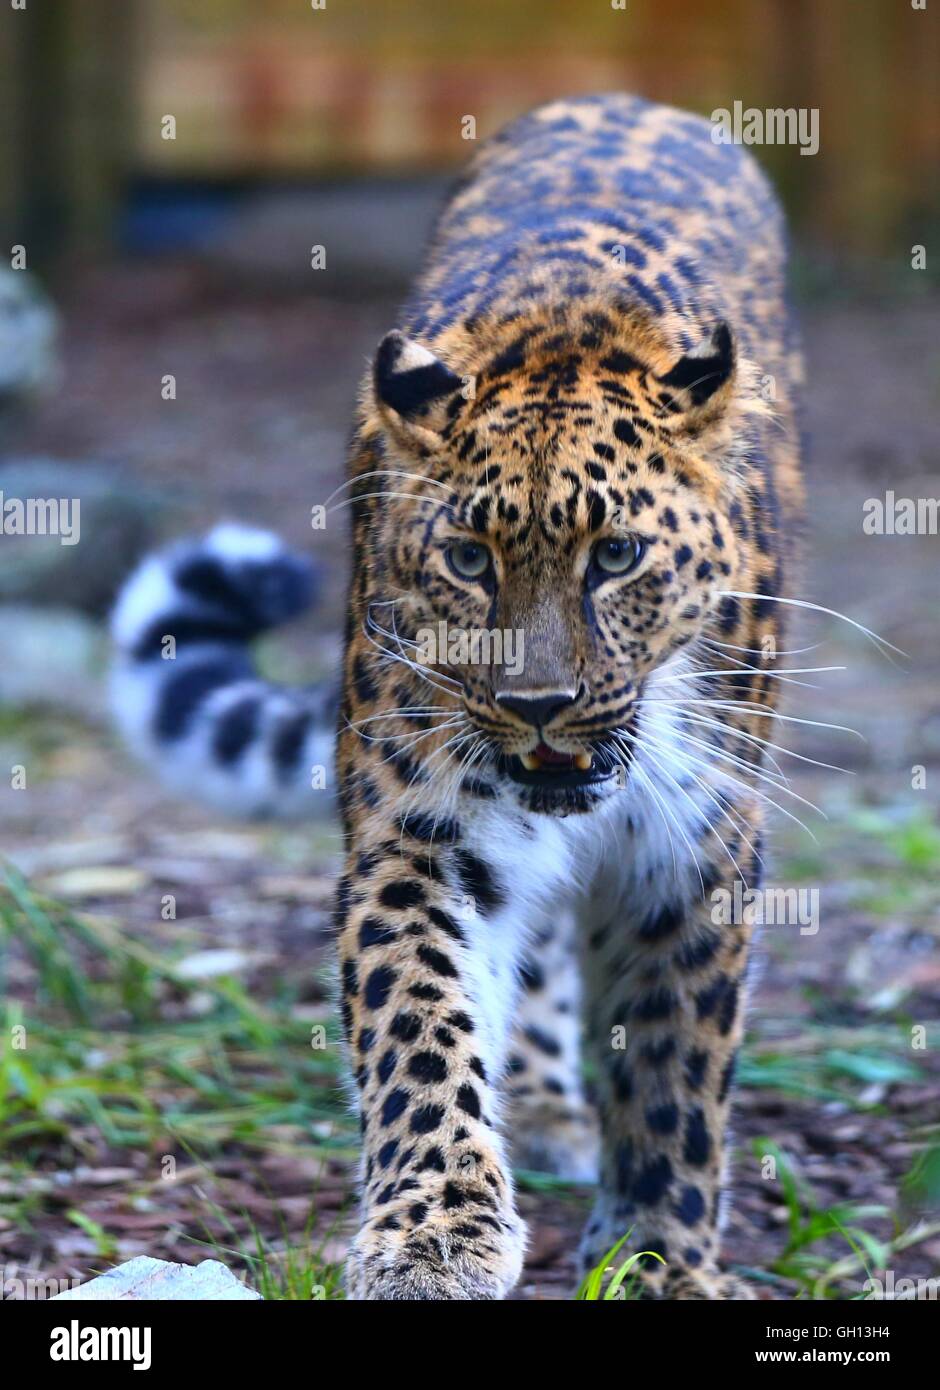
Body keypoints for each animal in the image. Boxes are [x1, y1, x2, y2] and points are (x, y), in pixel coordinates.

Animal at [112, 92, 805, 1300]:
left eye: (616, 555)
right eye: (470, 560)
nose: (538, 704)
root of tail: (618, 96)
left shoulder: (700, 845)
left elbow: (675, 1063)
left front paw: (658, 1255)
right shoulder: (421, 830)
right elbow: (421, 1021)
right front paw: (432, 1236)